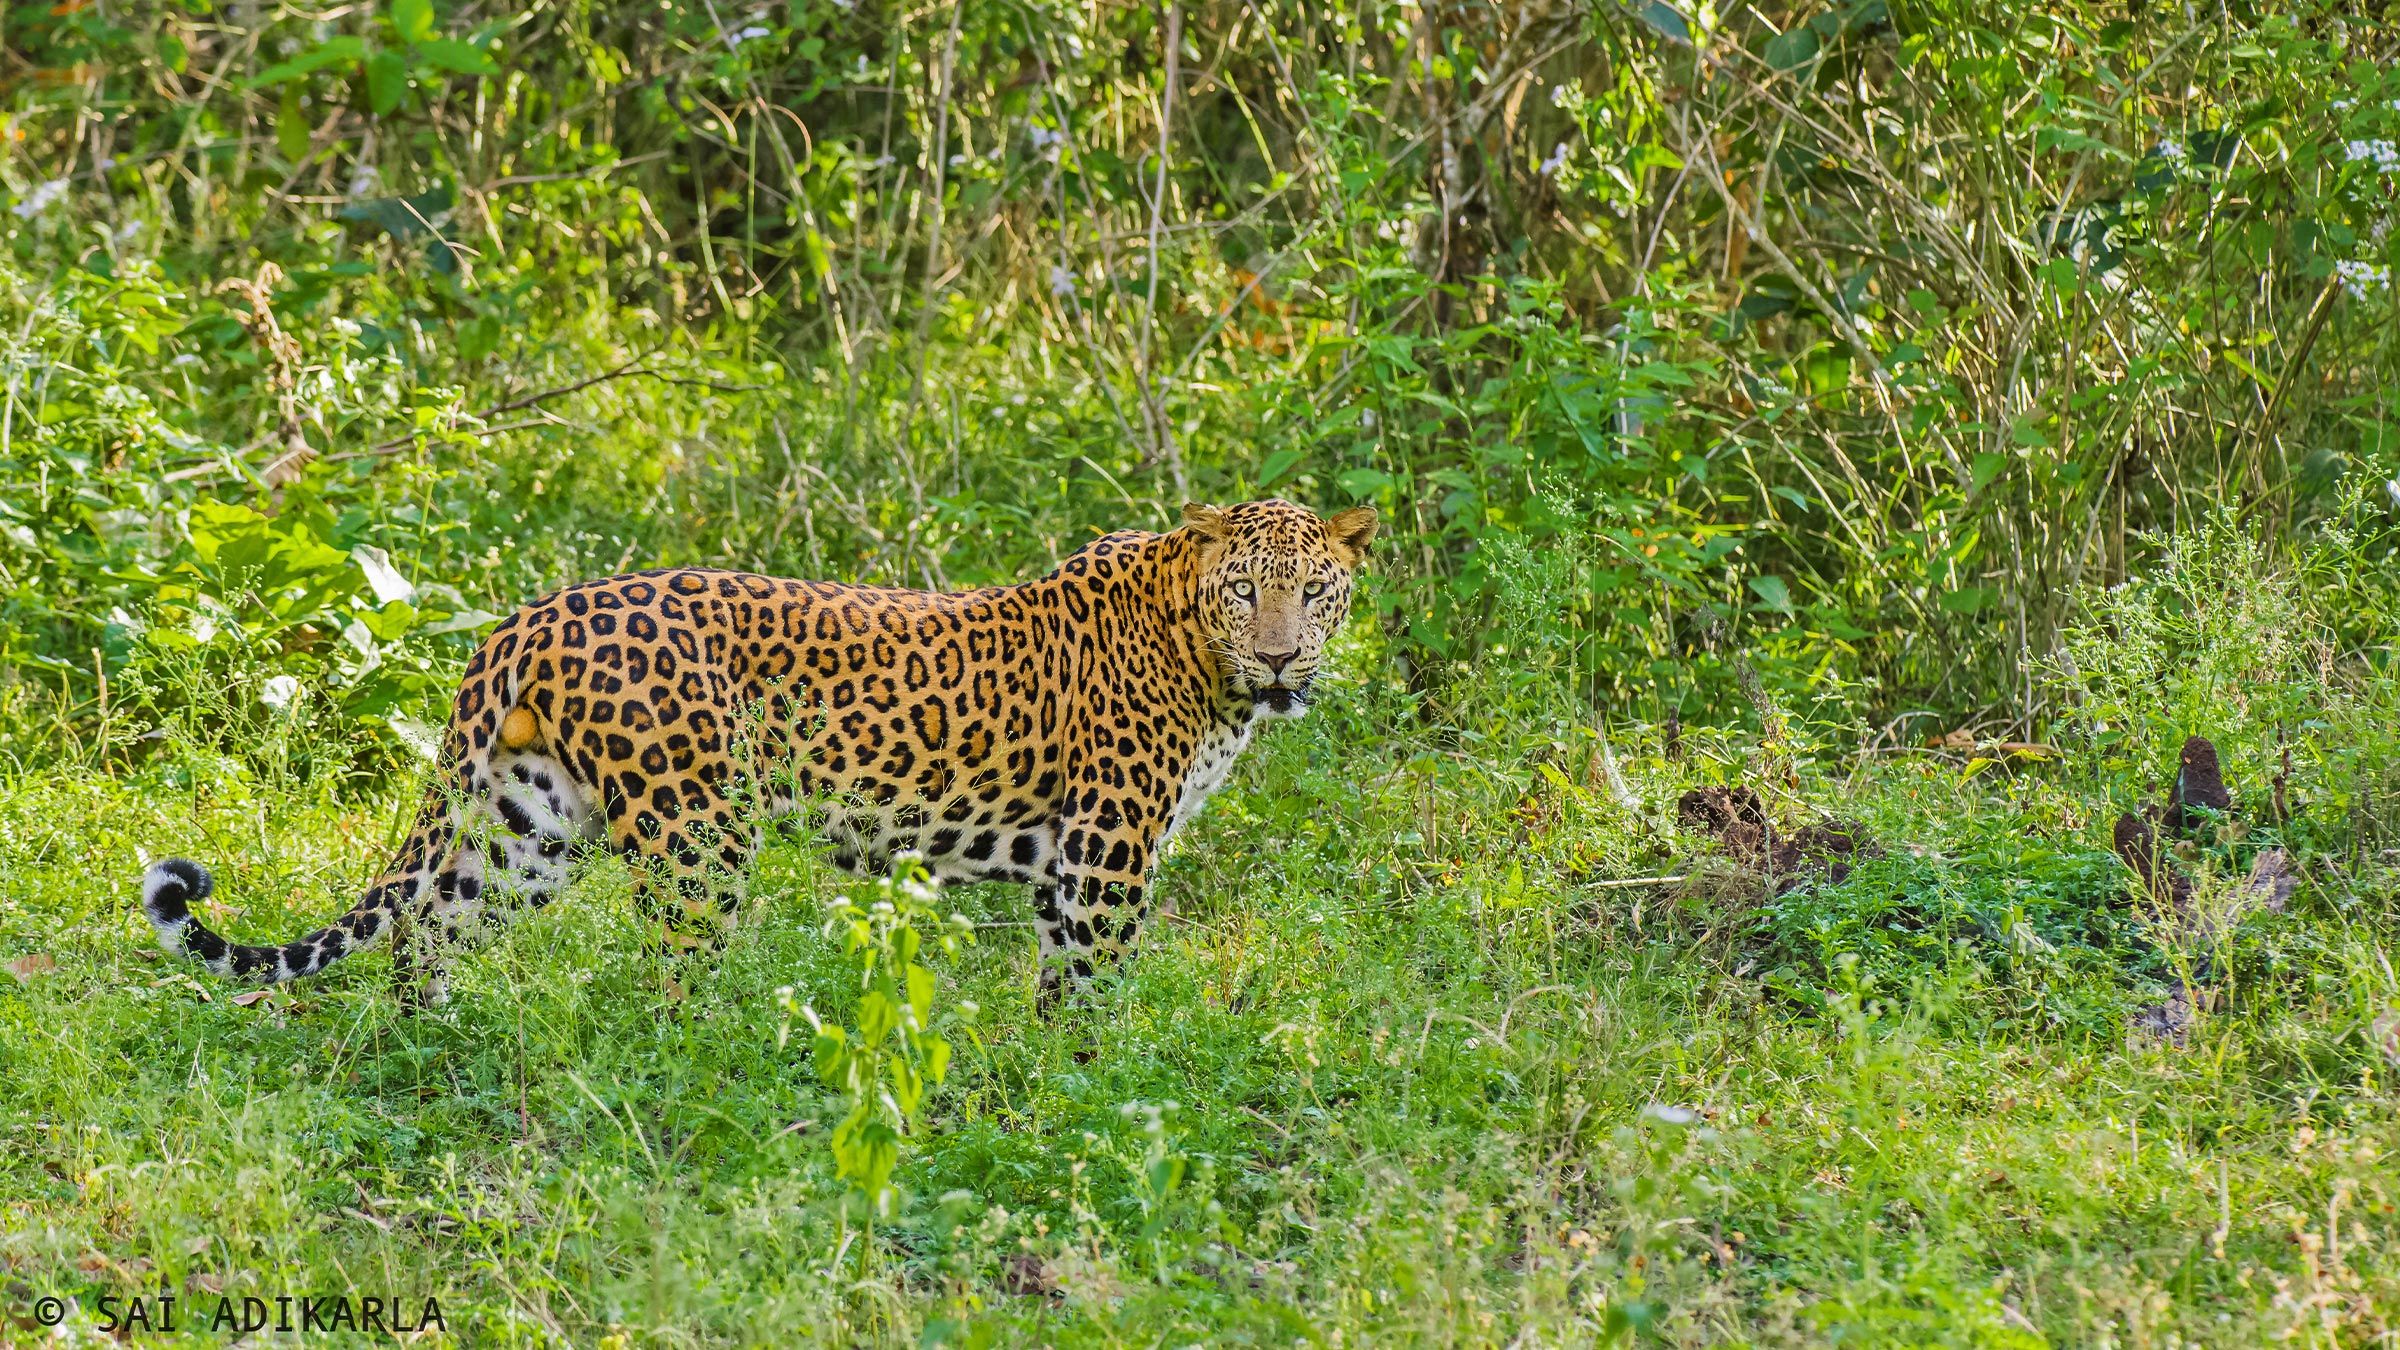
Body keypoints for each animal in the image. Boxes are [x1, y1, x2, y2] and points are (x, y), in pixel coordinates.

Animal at [141, 498, 1378, 1007]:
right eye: (1244, 591)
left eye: (1315, 593)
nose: (1281, 660)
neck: (1198, 651)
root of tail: (533, 613)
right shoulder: (1109, 853)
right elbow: (1090, 991)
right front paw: (1088, 1096)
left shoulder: (1076, 864)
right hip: (700, 829)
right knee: (670, 982)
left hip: (533, 822)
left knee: (429, 925)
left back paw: (426, 1045)